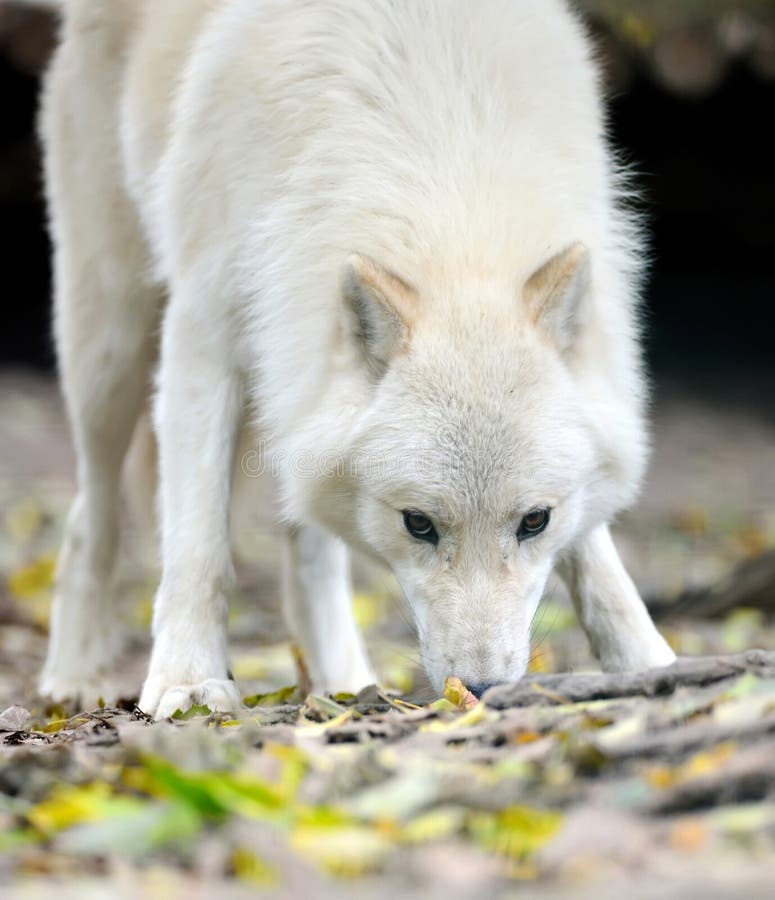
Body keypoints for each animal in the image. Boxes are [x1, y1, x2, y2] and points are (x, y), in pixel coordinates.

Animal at [32, 0, 675, 718]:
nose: (479, 691)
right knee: (91, 518)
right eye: (418, 524)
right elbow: (198, 549)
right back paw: (74, 675)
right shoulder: (203, 333)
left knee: (306, 548)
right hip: (110, 345)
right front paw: (189, 681)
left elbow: (596, 558)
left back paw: (343, 680)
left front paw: (648, 661)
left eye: (534, 521)